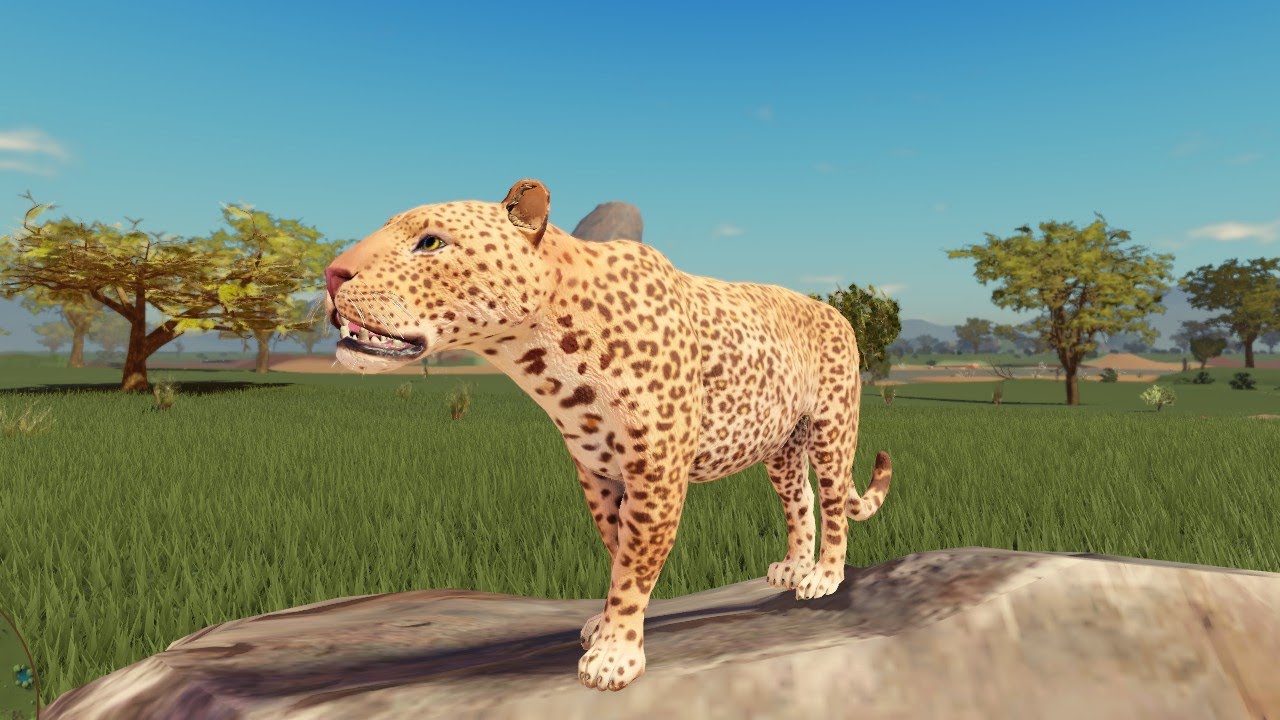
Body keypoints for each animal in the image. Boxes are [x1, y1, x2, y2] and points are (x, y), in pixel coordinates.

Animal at [322, 178, 893, 692]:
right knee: (799, 500)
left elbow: (635, 565)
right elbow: (617, 550)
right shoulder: (596, 472)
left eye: (431, 242)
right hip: (781, 446)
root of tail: (835, 310)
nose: (330, 274)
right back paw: (793, 567)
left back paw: (823, 576)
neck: (546, 358)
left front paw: (616, 656)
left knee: (834, 503)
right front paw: (606, 628)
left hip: (832, 427)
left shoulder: (656, 473)